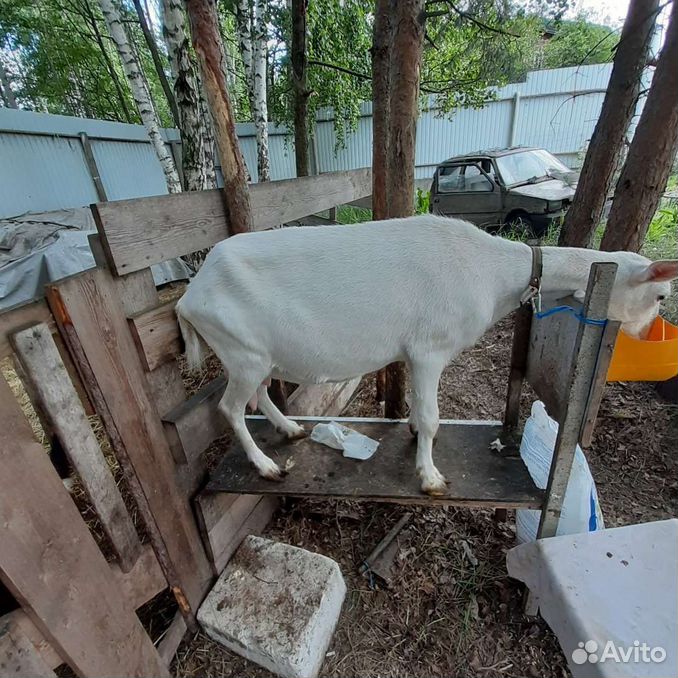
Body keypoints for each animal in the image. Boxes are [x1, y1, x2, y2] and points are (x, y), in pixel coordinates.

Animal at [176, 215, 677, 495]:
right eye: (660, 296)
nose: (644, 336)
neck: (492, 270)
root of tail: (188, 297)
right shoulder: (429, 349)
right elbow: (434, 417)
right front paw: (430, 476)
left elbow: (420, 411)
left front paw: (415, 436)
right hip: (240, 351)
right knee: (230, 407)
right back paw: (266, 467)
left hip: (256, 354)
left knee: (259, 395)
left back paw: (290, 429)